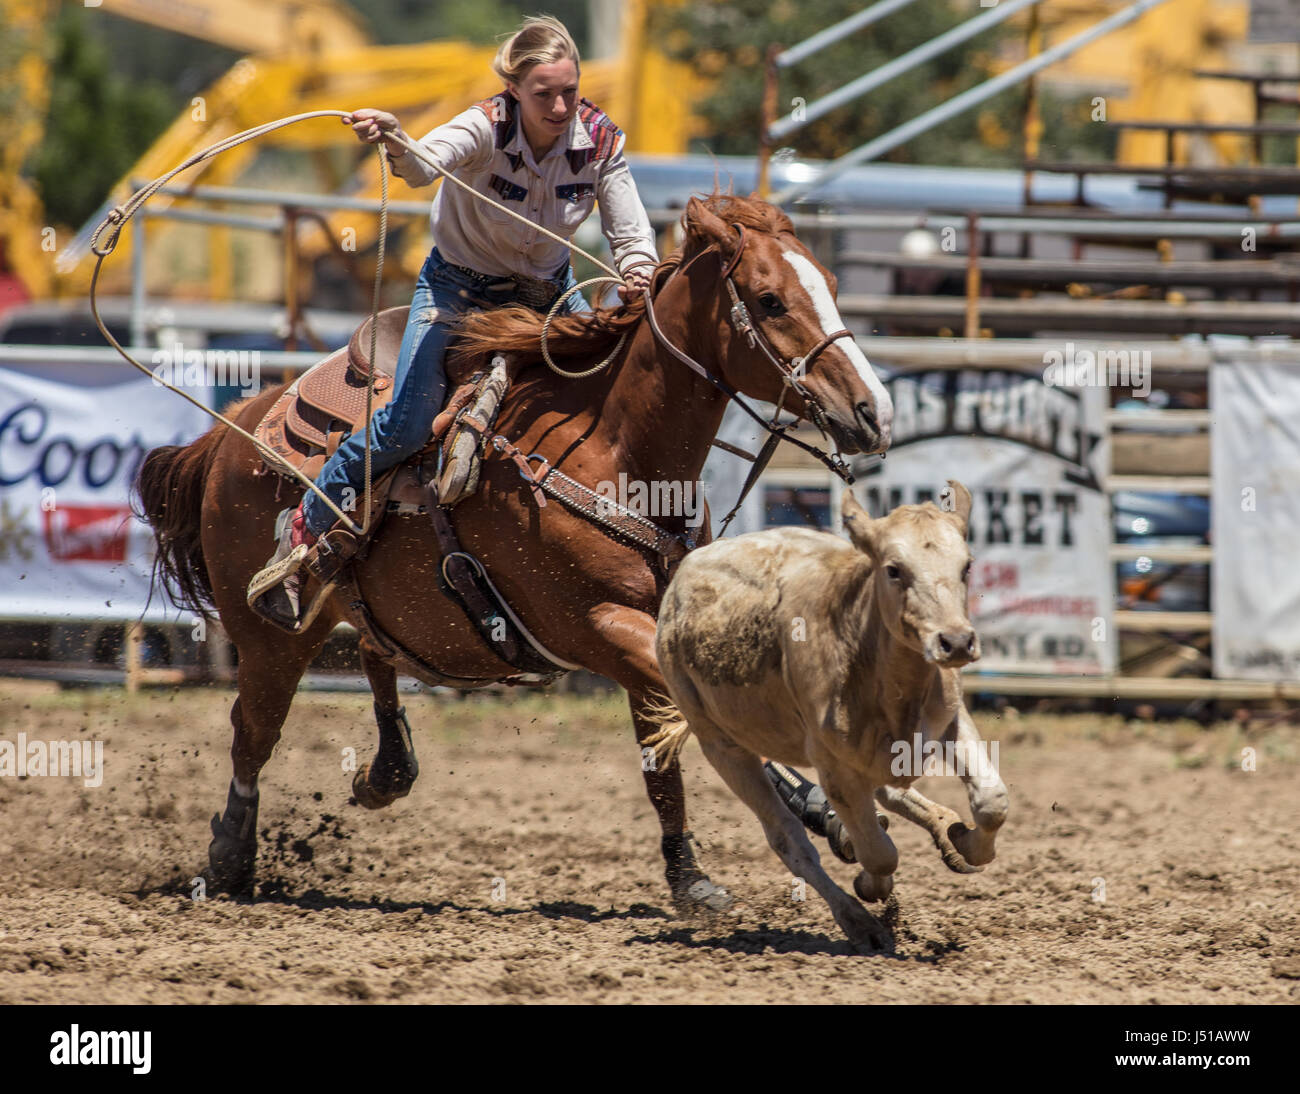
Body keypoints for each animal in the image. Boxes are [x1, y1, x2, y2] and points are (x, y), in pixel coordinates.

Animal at [649, 481, 1008, 951]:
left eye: (966, 567)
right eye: (894, 570)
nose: (957, 641)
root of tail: (683, 573)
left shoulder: (950, 719)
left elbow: (991, 802)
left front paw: (965, 839)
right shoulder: (832, 764)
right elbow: (879, 853)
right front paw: (871, 889)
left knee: (888, 792)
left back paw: (944, 827)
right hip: (721, 743)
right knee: (790, 840)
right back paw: (858, 921)